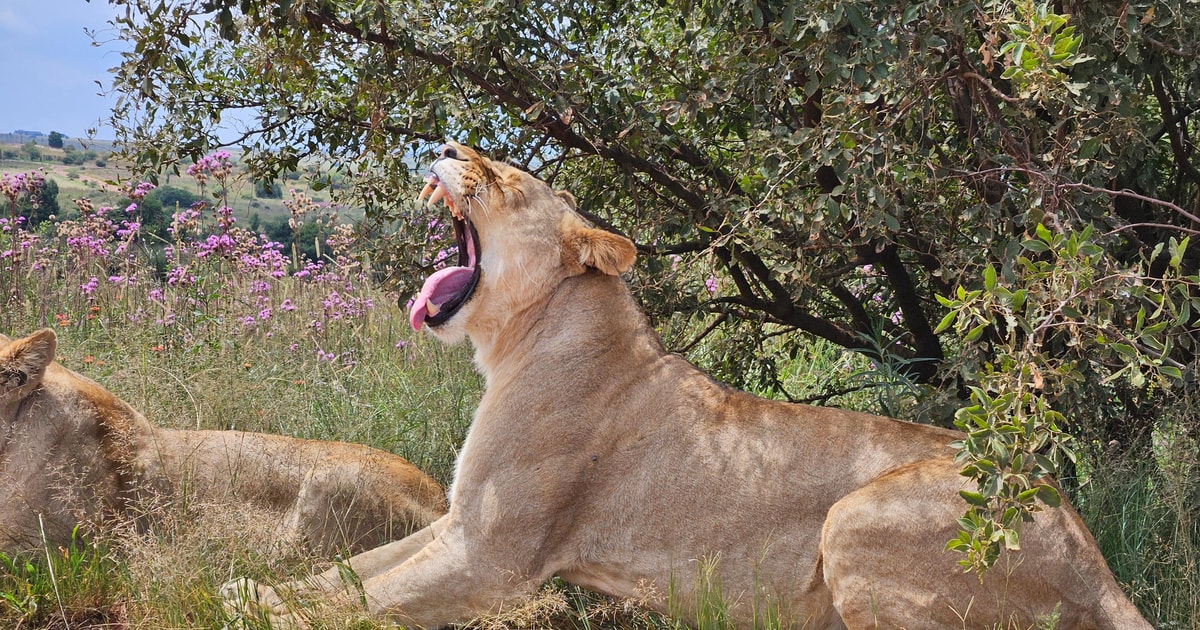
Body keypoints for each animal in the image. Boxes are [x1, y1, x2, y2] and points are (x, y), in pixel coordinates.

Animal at [224, 142, 1151, 629]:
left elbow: (361, 601)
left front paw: (256, 611)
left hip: (856, 518)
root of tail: (1080, 535)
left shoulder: (494, 558)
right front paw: (247, 587)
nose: (448, 148)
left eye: (506, 177)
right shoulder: (461, 526)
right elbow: (349, 572)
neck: (519, 342)